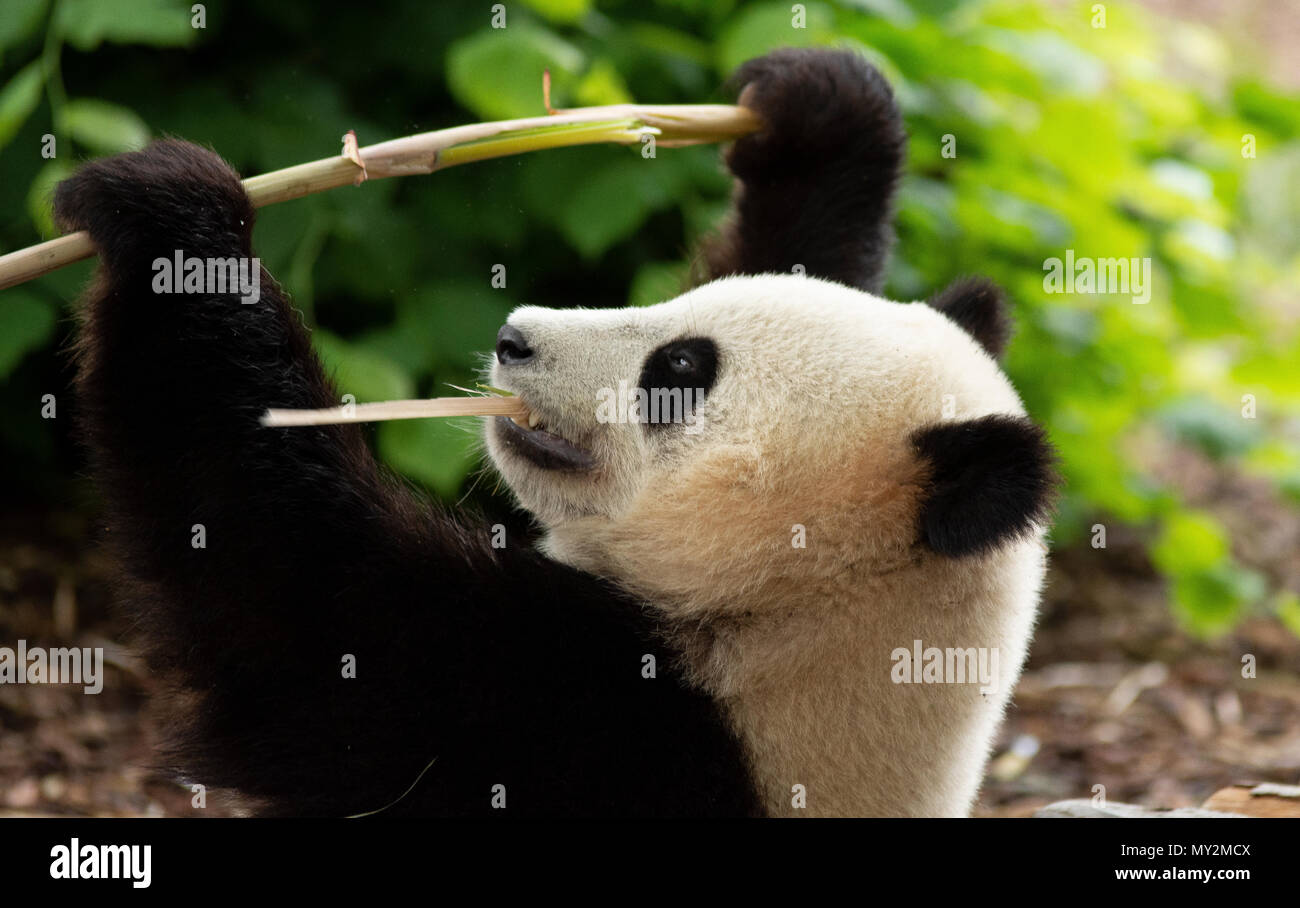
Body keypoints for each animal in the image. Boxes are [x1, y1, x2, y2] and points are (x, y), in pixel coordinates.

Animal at [54, 48, 1055, 817]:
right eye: (686, 313)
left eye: (679, 371)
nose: (514, 335)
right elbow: (815, 244)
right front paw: (820, 112)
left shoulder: (609, 725)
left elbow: (297, 609)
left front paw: (178, 223)